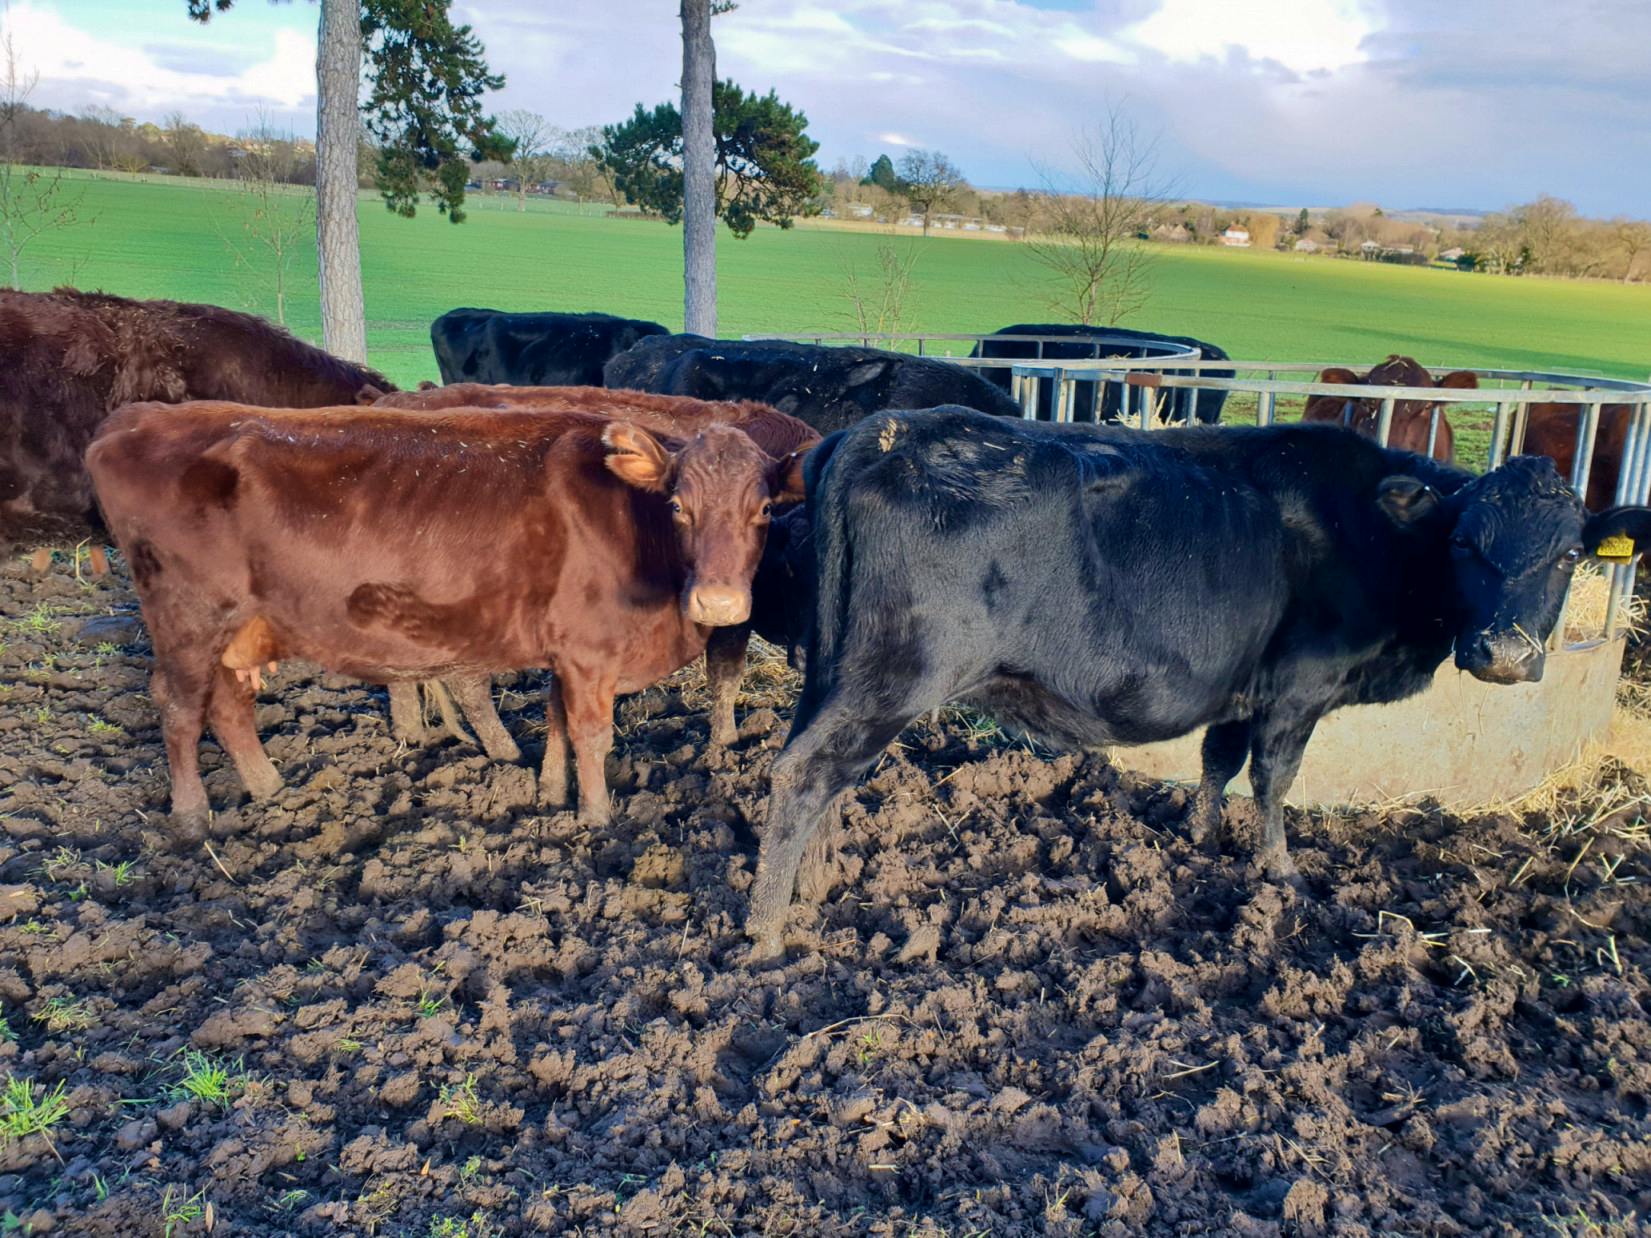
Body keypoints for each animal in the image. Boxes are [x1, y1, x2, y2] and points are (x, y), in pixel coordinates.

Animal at [372, 382, 819, 748]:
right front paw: (724, 746)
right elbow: (726, 678)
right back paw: (507, 753)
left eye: (764, 509)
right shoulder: (730, 611)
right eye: (795, 568)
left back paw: (412, 732)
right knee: (467, 682)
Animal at [743, 408, 1651, 957]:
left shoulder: (1242, 689)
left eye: (1567, 553)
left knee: (823, 773)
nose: (1502, 653)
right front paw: (1279, 874)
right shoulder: (1298, 688)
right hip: (895, 674)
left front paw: (1205, 842)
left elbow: (1217, 760)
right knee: (805, 772)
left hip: (838, 667)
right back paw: (767, 932)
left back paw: (817, 878)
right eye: (1465, 542)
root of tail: (880, 430)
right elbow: (1274, 778)